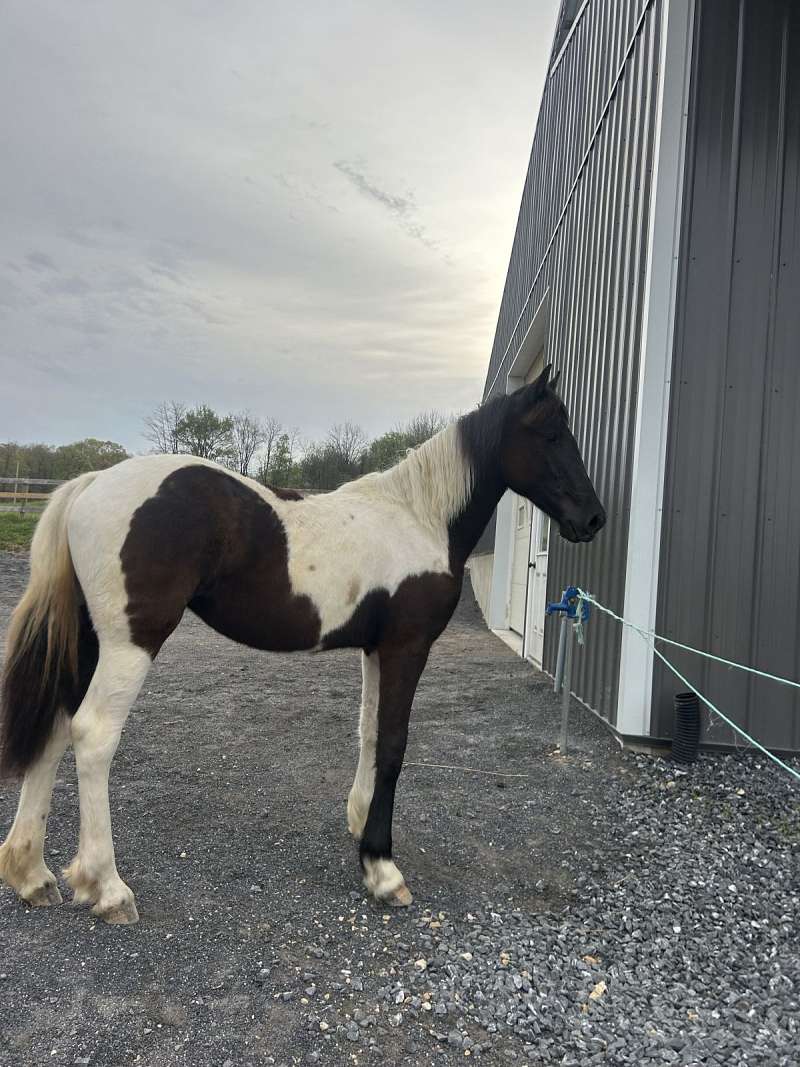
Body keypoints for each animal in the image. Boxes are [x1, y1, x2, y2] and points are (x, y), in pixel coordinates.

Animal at [0, 366, 604, 924]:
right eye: (553, 434)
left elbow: (368, 733)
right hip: (130, 643)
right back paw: (106, 887)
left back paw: (32, 873)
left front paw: (361, 824)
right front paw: (382, 870)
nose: (593, 518)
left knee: (56, 726)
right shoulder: (408, 646)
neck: (418, 517)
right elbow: (393, 743)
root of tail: (93, 483)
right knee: (93, 734)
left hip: (87, 640)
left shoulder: (376, 649)